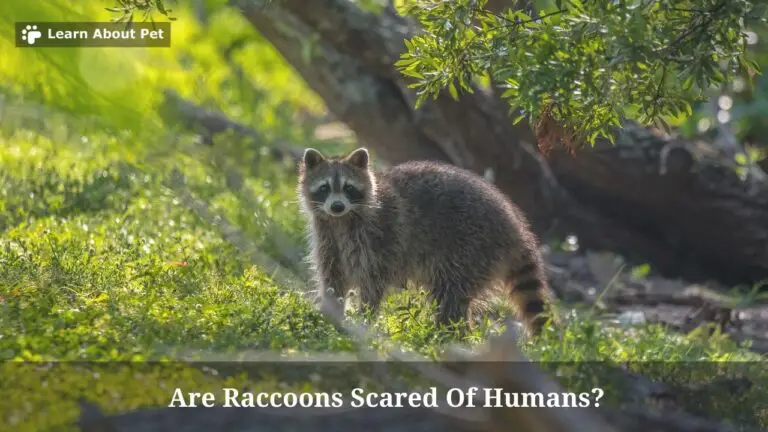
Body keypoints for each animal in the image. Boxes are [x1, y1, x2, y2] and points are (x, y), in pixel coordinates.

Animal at [297, 147, 553, 335]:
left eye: (349, 188)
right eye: (324, 188)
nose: (337, 206)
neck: (341, 221)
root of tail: (514, 224)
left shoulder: (381, 238)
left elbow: (373, 282)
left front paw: (365, 319)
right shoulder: (328, 240)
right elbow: (333, 278)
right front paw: (330, 316)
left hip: (471, 247)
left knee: (450, 295)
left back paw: (447, 335)